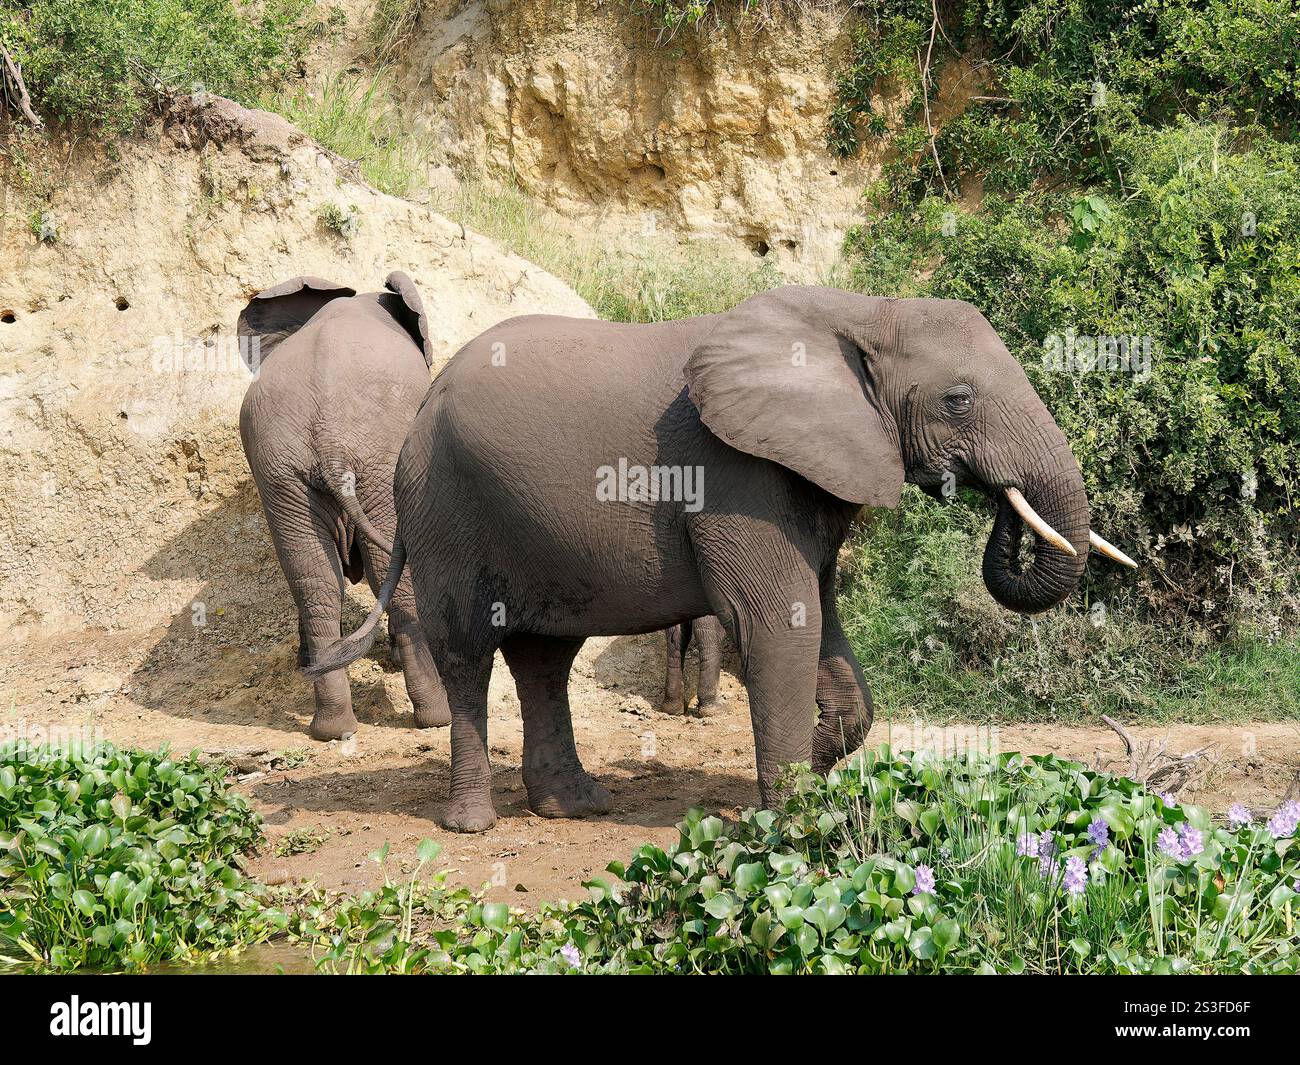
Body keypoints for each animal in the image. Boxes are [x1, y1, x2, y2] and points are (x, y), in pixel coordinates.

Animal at [238, 272, 450, 741]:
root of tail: (330, 440)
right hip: (381, 462)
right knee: (394, 576)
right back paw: (436, 716)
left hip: (282, 474)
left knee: (314, 581)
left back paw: (331, 727)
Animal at [308, 285, 1135, 831]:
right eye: (958, 400)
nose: (999, 505)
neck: (861, 312)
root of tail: (421, 403)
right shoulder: (738, 473)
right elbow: (776, 621)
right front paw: (794, 819)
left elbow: (819, 619)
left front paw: (817, 773)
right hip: (443, 505)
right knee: (469, 651)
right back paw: (474, 822)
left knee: (545, 657)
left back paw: (575, 805)